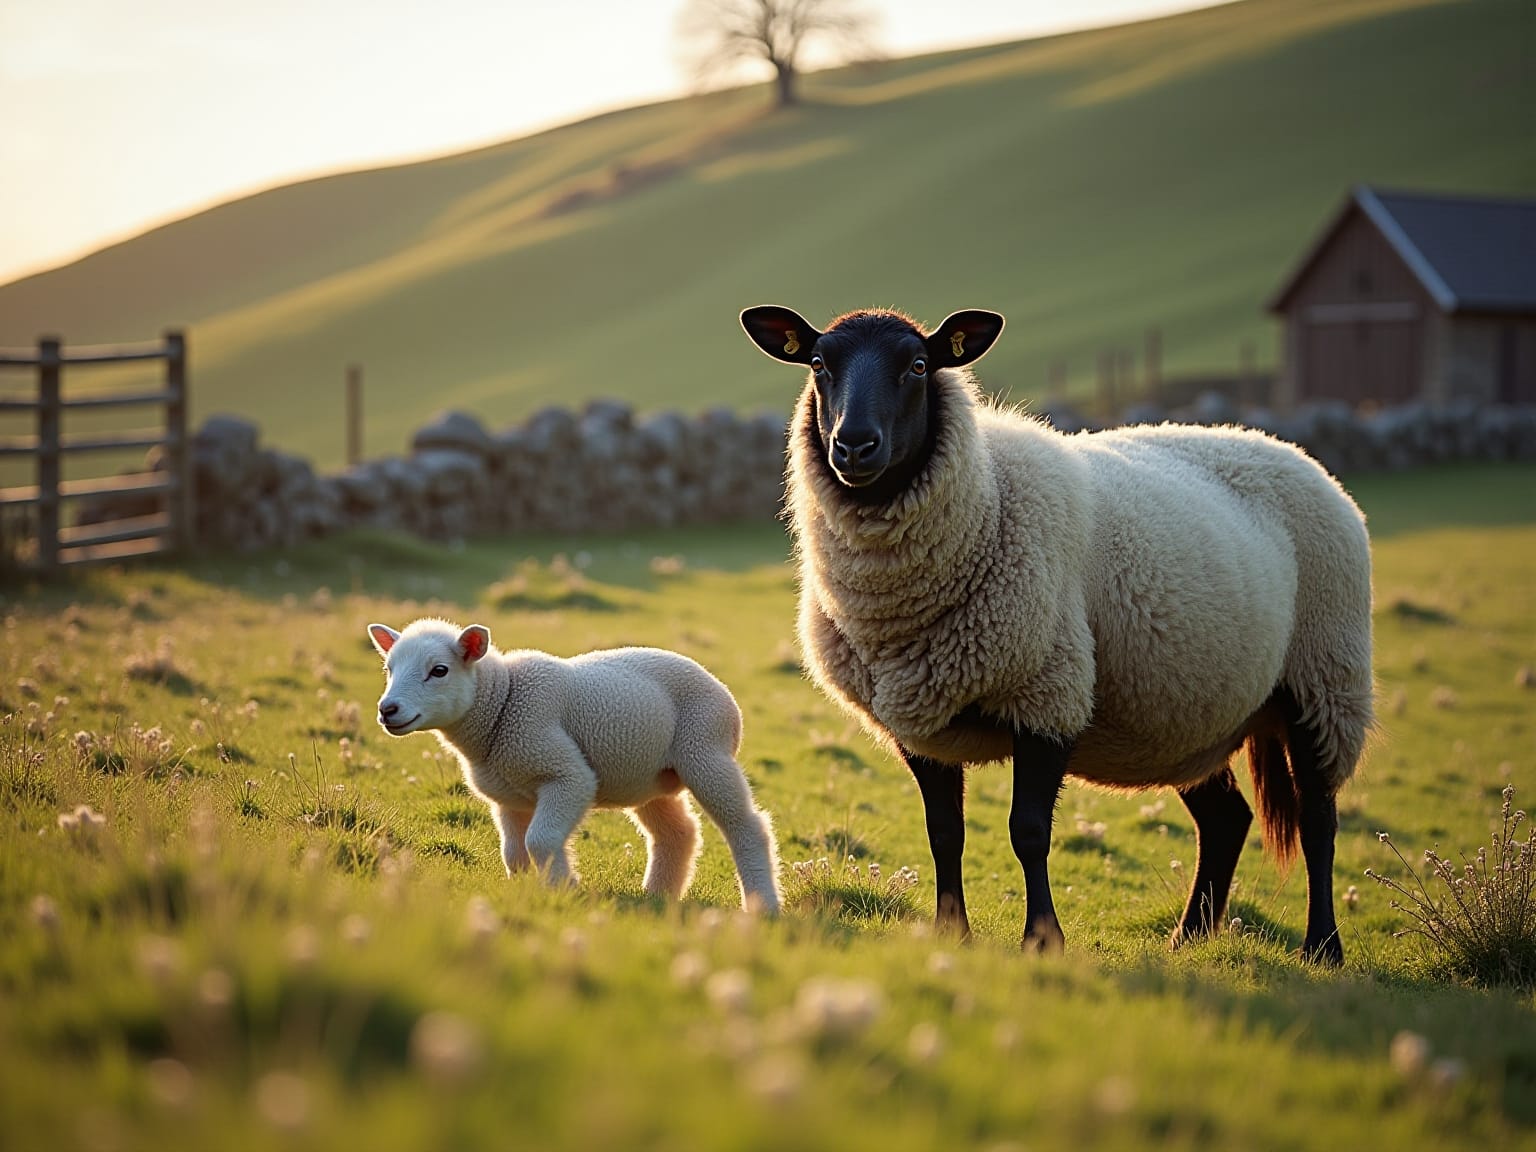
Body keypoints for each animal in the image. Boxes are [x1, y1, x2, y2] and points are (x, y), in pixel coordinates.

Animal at [368, 619, 783, 914]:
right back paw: (657, 897)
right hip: (651, 777)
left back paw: (763, 906)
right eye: (388, 669)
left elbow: (541, 839)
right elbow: (513, 852)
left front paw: (563, 889)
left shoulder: (566, 774)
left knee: (746, 826)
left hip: (706, 750)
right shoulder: (508, 796)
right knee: (678, 833)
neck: (501, 704)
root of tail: (727, 698)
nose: (388, 710)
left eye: (439, 670)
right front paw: (525, 891)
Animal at [739, 305, 1373, 963]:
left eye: (917, 365)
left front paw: (1043, 938)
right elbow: (944, 834)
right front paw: (951, 933)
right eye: (818, 362)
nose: (854, 445)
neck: (985, 500)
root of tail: (1290, 450)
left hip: (1323, 680)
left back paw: (1323, 946)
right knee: (1225, 819)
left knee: (1318, 821)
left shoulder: (1047, 695)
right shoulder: (922, 722)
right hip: (1184, 714)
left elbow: (1028, 831)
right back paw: (1189, 937)